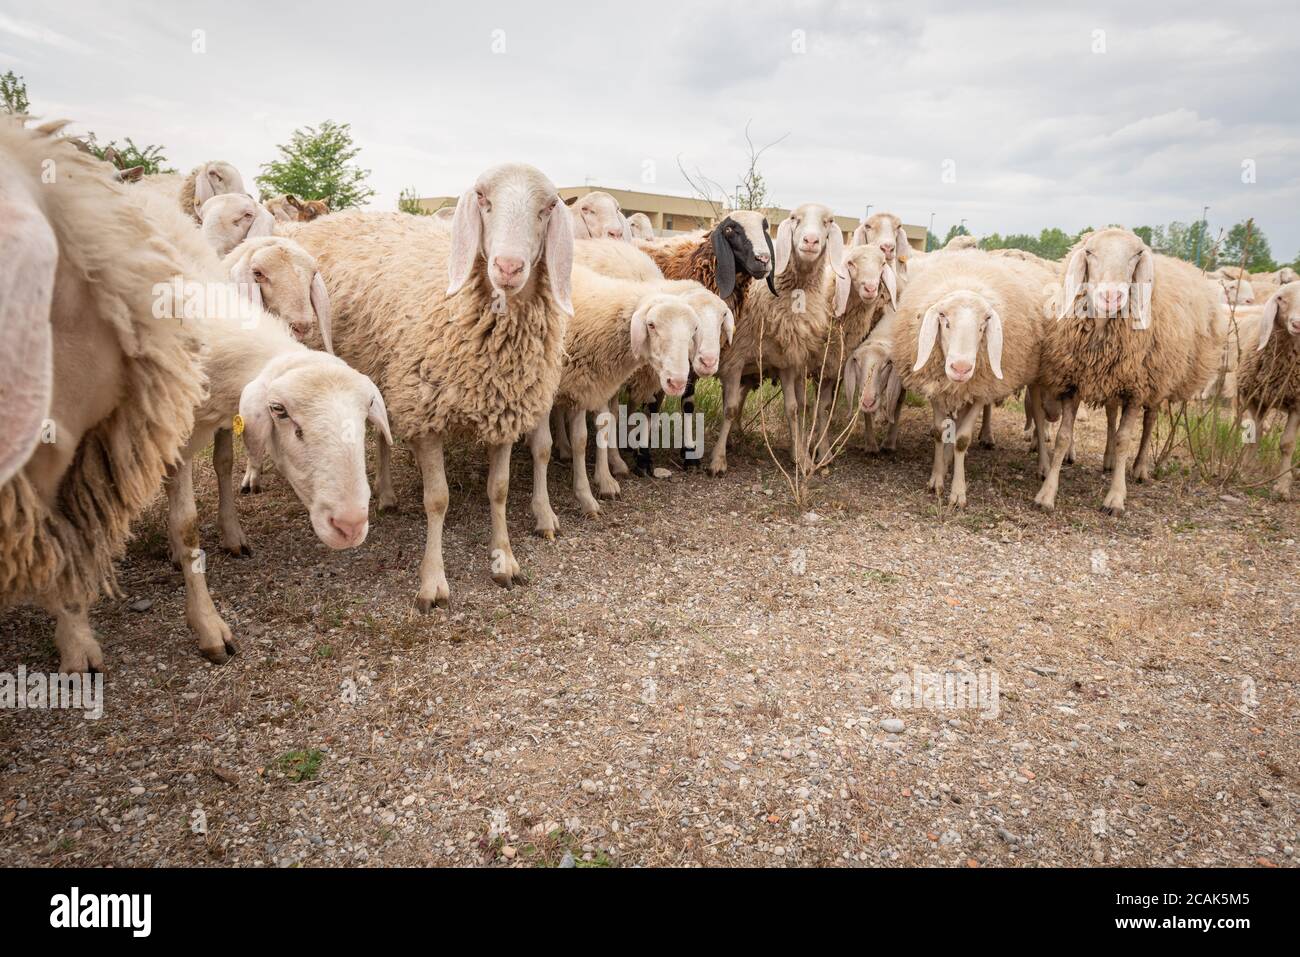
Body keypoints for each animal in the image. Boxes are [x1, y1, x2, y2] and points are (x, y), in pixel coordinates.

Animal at [285, 163, 573, 609]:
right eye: (483, 199)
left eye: (547, 208)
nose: (508, 267)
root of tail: (331, 218)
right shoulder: (426, 418)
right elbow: (437, 499)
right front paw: (433, 582)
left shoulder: (503, 412)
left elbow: (499, 489)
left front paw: (504, 560)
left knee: (381, 434)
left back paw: (386, 495)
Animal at [528, 265, 699, 533]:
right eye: (651, 325)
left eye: (694, 330)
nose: (678, 382)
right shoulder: (546, 389)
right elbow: (543, 448)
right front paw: (544, 514)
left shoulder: (580, 385)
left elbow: (580, 441)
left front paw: (586, 498)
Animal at [892, 251, 1054, 506]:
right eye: (945, 320)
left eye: (983, 325)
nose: (961, 368)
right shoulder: (937, 387)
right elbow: (939, 431)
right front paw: (937, 477)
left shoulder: (979, 391)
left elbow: (962, 439)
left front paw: (958, 492)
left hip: (1032, 376)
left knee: (1038, 416)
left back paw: (1044, 466)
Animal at [1034, 228, 1223, 515]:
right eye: (1089, 252)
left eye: (1137, 254)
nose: (1112, 296)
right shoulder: (1074, 383)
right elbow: (1063, 438)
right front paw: (1047, 494)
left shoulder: (1136, 389)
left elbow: (1125, 439)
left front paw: (1115, 497)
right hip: (1114, 382)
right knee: (1112, 414)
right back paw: (1109, 459)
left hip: (1156, 380)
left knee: (1149, 422)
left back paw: (1139, 468)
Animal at [1238, 284, 1300, 499]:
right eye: (1281, 298)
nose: (1297, 323)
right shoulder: (1253, 398)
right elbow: (1255, 434)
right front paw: (1245, 471)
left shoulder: (1298, 404)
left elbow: (1287, 444)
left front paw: (1282, 486)